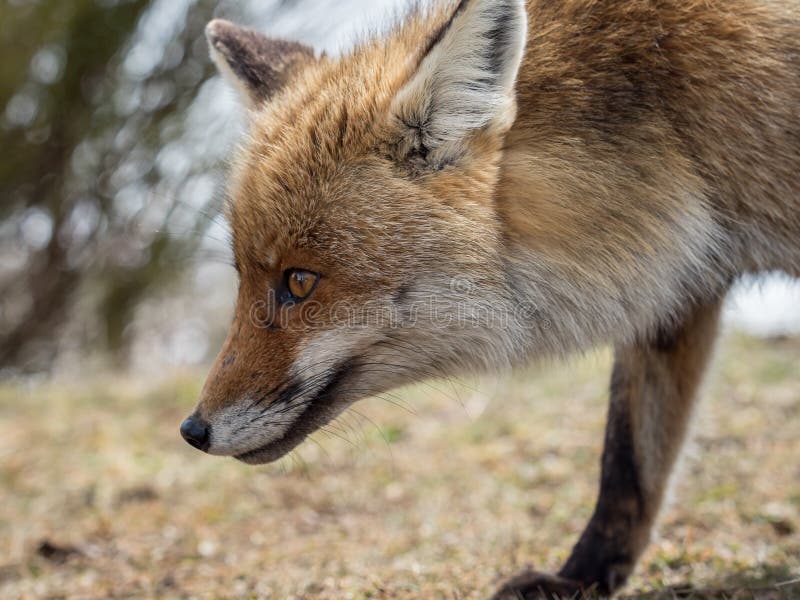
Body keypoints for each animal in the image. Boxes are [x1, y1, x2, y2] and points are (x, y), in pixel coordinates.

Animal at [179, 0, 800, 596]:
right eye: (242, 276)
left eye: (300, 281)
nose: (192, 431)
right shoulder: (679, 288)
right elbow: (628, 463)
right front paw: (582, 579)